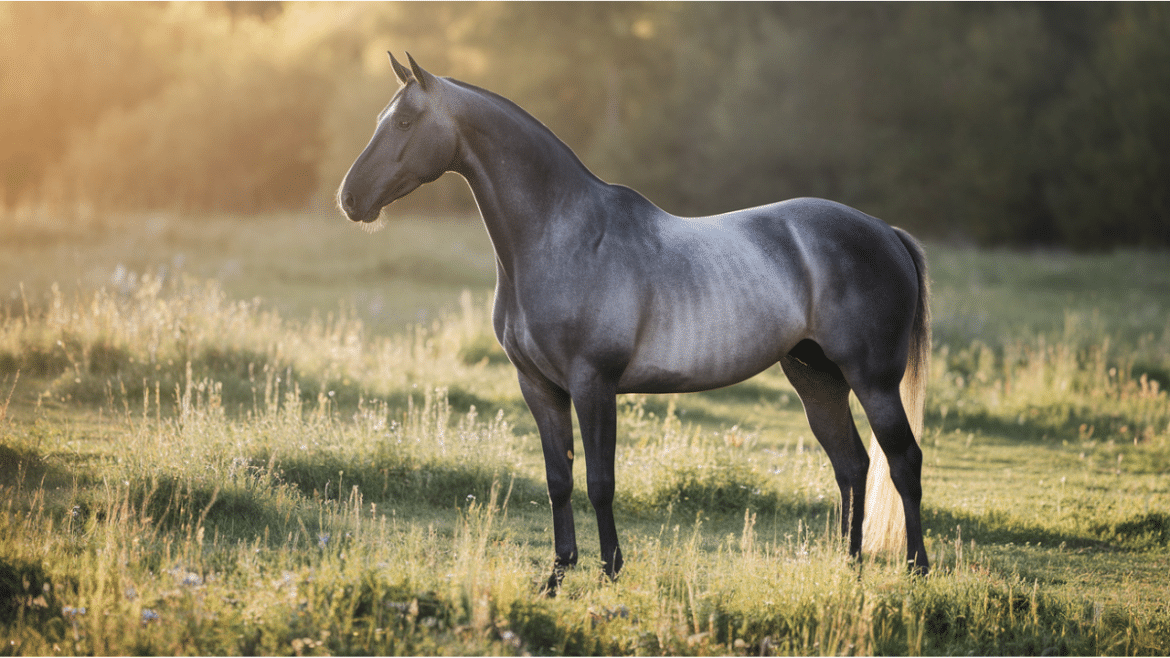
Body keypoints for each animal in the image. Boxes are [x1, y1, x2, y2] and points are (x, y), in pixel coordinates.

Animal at [339, 53, 931, 588]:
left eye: (406, 122)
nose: (349, 199)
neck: (562, 237)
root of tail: (886, 232)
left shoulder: (593, 384)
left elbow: (600, 481)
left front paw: (609, 571)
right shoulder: (538, 387)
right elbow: (558, 480)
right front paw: (556, 575)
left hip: (873, 381)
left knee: (903, 460)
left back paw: (917, 570)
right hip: (816, 378)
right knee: (852, 464)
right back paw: (849, 568)